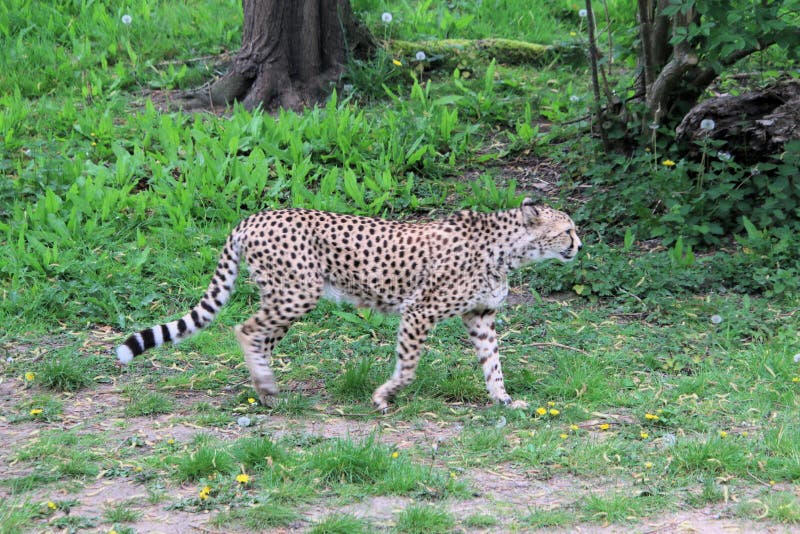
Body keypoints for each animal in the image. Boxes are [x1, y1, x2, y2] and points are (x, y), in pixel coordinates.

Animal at [116, 198, 581, 411]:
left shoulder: (479, 317)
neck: (508, 248)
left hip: (287, 295)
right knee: (245, 330)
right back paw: (266, 388)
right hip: (297, 292)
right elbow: (408, 366)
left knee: (262, 337)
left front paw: (505, 401)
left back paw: (266, 388)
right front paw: (383, 396)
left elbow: (493, 363)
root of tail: (257, 215)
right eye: (568, 230)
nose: (580, 245)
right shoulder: (419, 311)